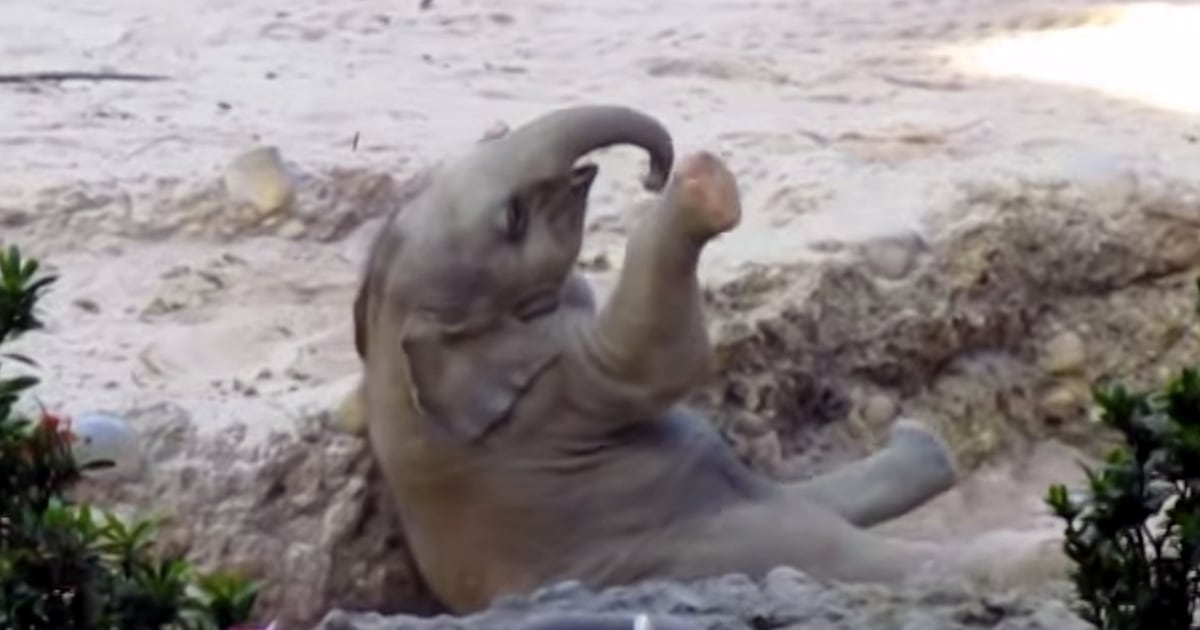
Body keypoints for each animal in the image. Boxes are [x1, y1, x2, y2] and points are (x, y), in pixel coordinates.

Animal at [344, 104, 1068, 615]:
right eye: (513, 221)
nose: (652, 169)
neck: (385, 328)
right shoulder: (552, 399)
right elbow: (659, 357)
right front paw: (702, 187)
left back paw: (923, 445)